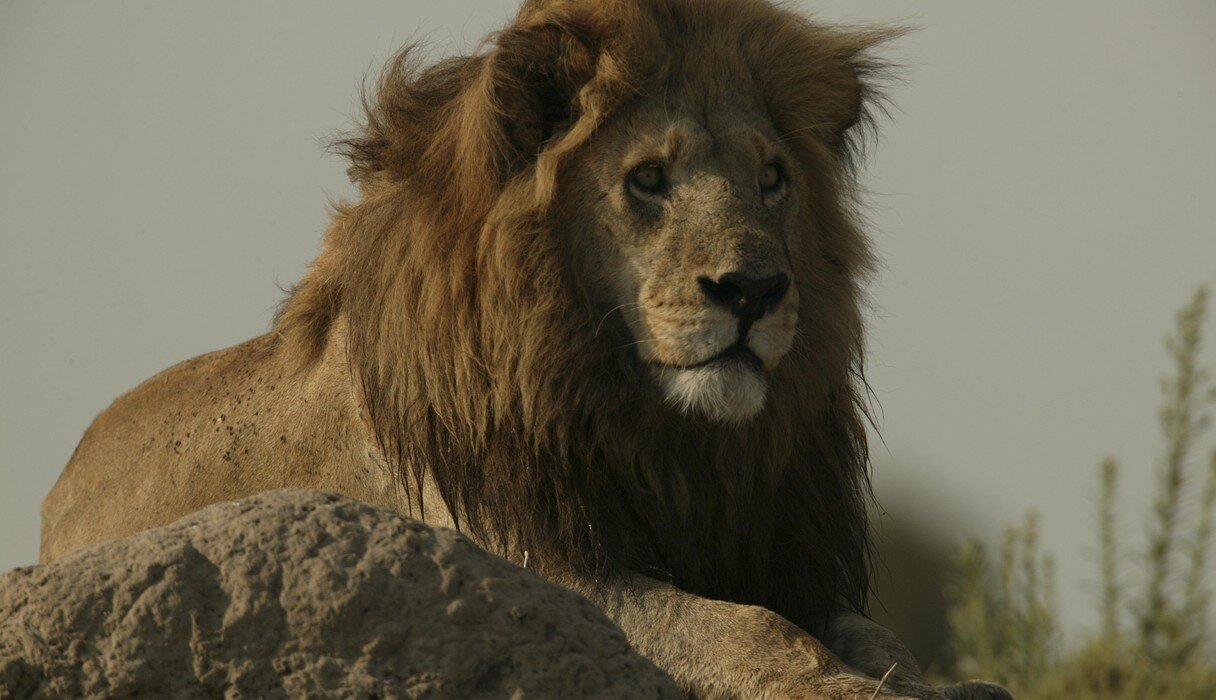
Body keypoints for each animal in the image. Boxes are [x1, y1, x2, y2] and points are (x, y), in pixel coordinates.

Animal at [40, 1, 1010, 698]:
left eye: (772, 179)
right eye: (647, 179)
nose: (754, 291)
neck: (661, 432)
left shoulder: (781, 556)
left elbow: (871, 633)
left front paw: (944, 685)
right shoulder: (533, 567)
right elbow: (743, 627)